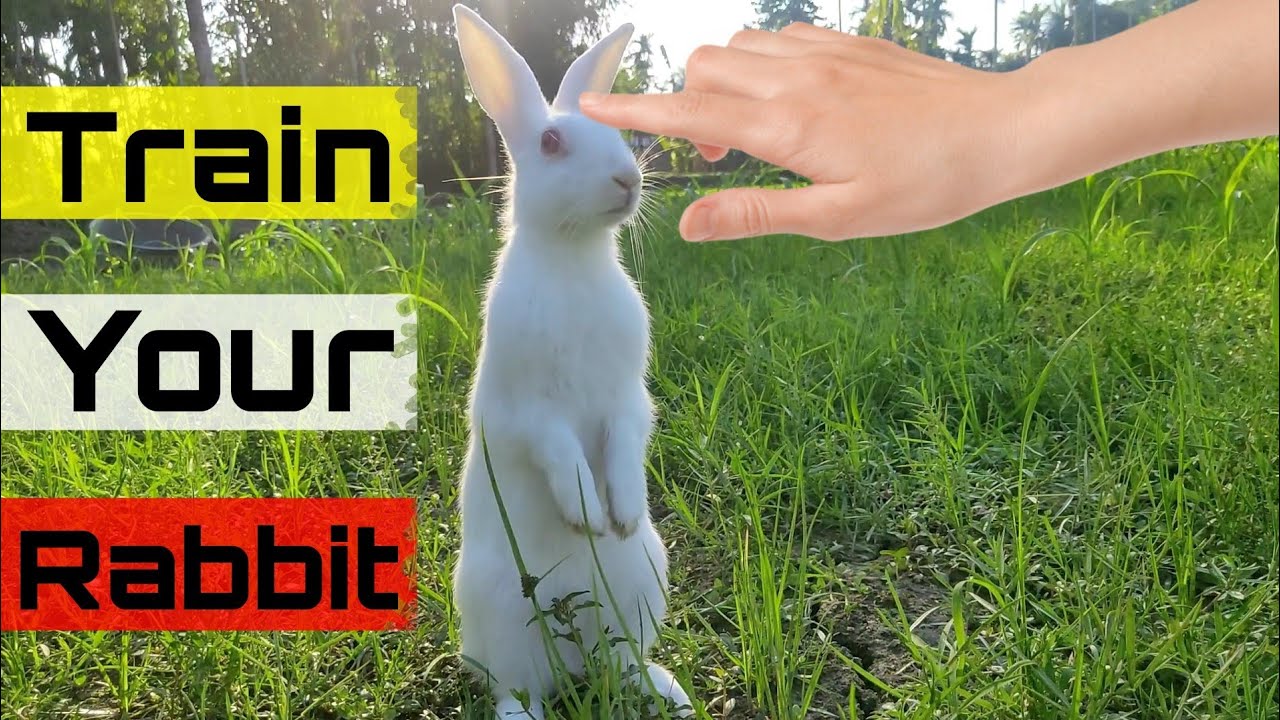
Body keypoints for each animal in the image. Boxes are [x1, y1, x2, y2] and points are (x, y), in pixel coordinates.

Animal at [449, 5, 693, 719]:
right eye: (552, 143)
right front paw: (586, 513)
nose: (628, 179)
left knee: (623, 658)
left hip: (643, 584)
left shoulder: (628, 398)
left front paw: (623, 512)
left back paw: (668, 692)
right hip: (499, 614)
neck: (574, 257)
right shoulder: (524, 411)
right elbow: (556, 446)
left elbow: (628, 437)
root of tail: (574, 663)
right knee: (514, 687)